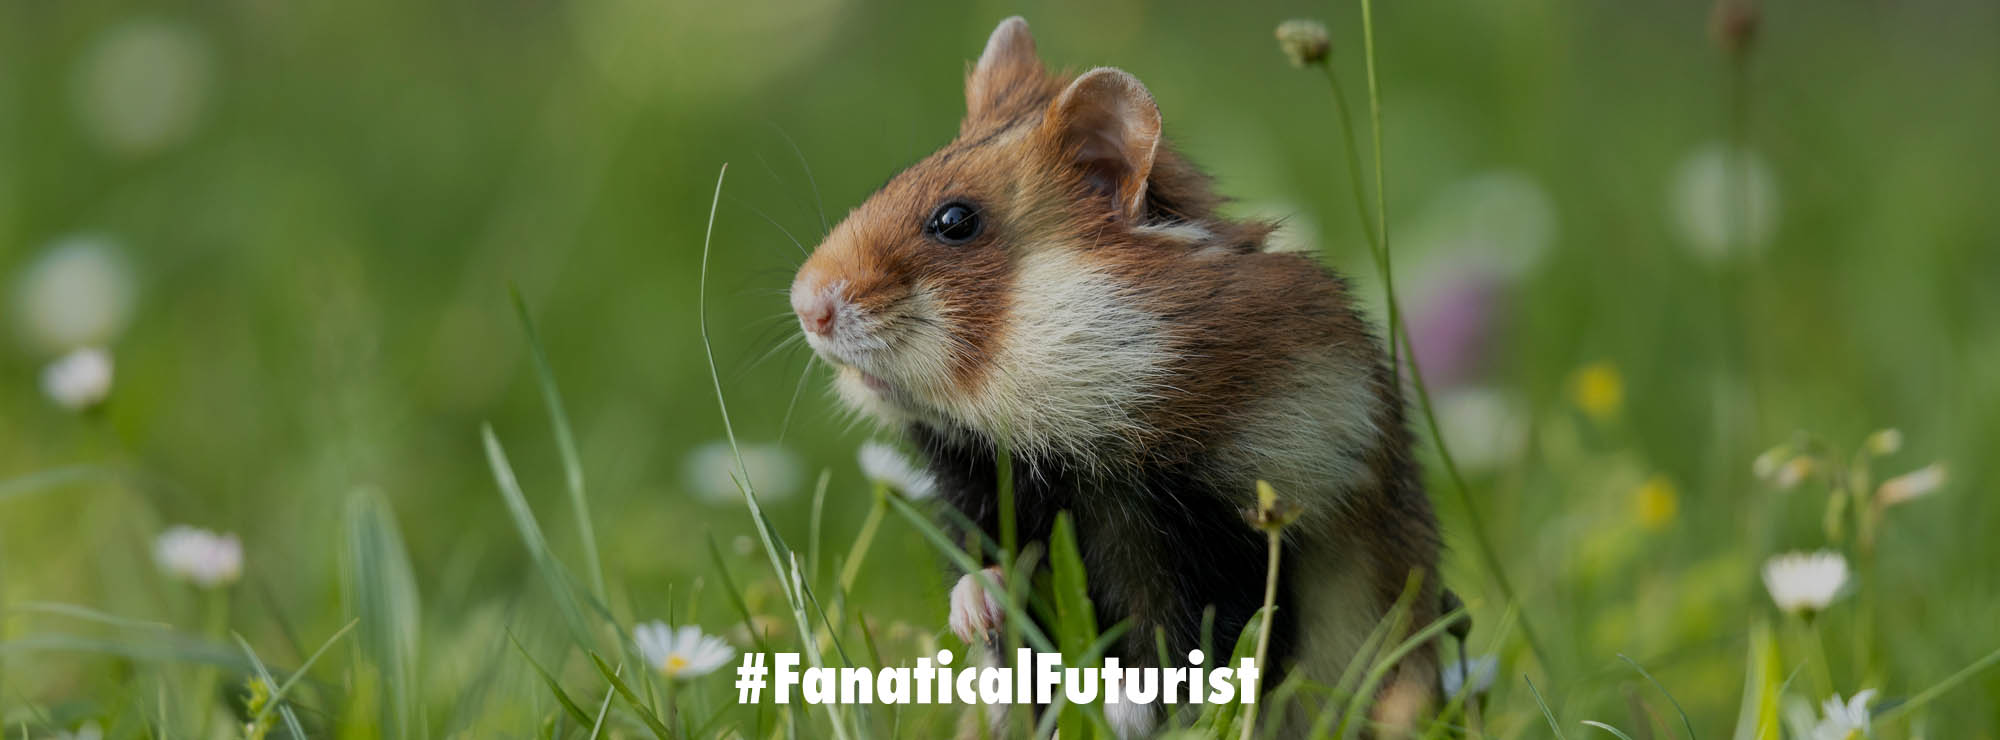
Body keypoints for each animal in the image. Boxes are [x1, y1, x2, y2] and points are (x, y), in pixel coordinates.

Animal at [790, 16, 1441, 736]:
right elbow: (992, 580)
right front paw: (978, 610)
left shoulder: (1239, 526)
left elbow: (1189, 651)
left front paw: (1115, 708)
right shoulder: (985, 489)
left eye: (954, 221)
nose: (806, 306)